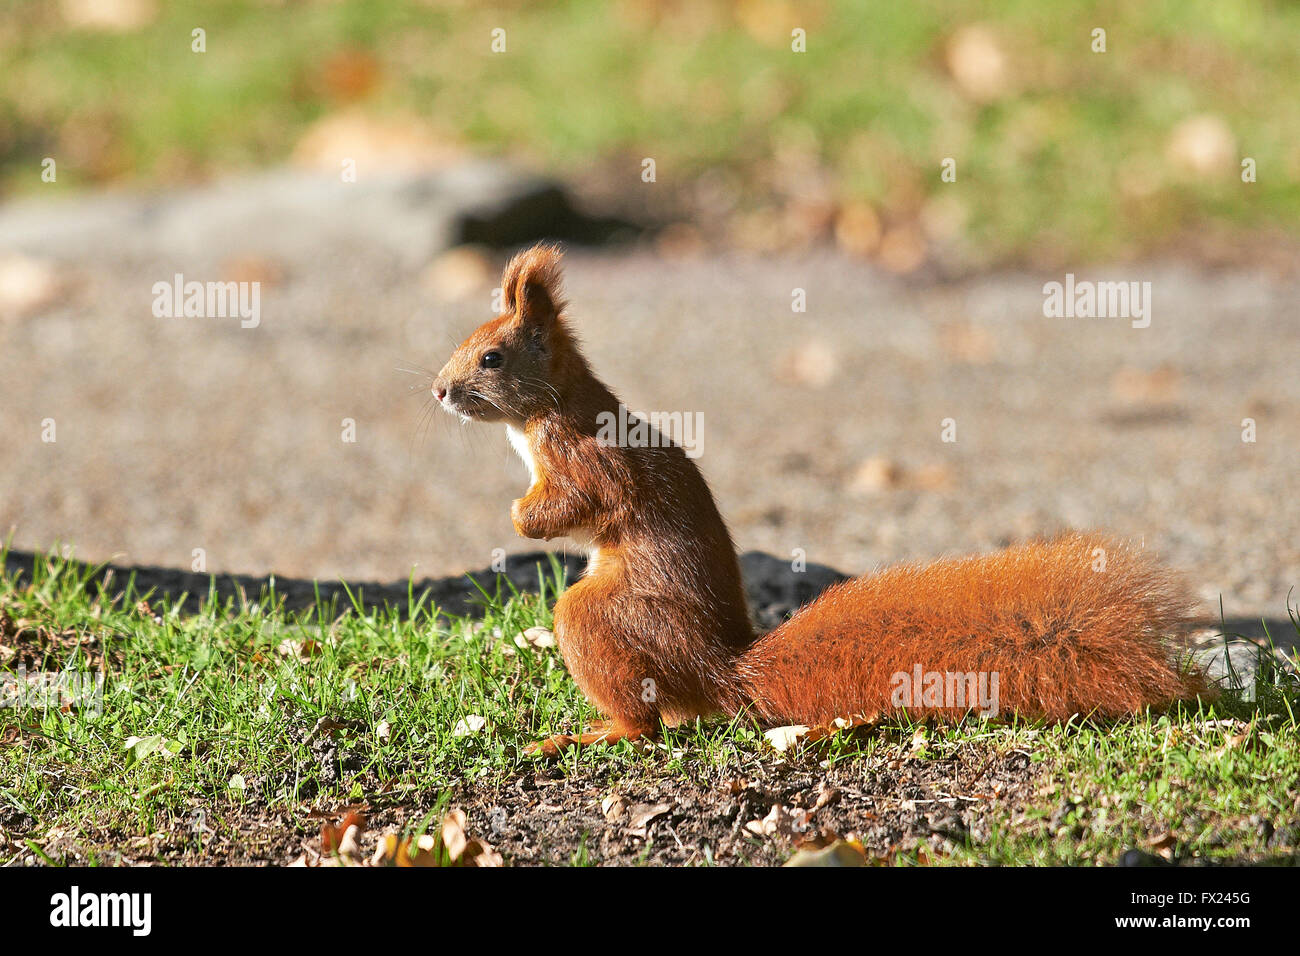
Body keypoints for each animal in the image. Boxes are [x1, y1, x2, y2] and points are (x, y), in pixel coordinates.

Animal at [432, 244, 1214, 756]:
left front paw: (520, 517)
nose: (438, 391)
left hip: (608, 619)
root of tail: (722, 670)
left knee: (641, 717)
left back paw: (592, 732)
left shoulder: (587, 462)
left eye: (491, 357)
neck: (549, 408)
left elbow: (571, 507)